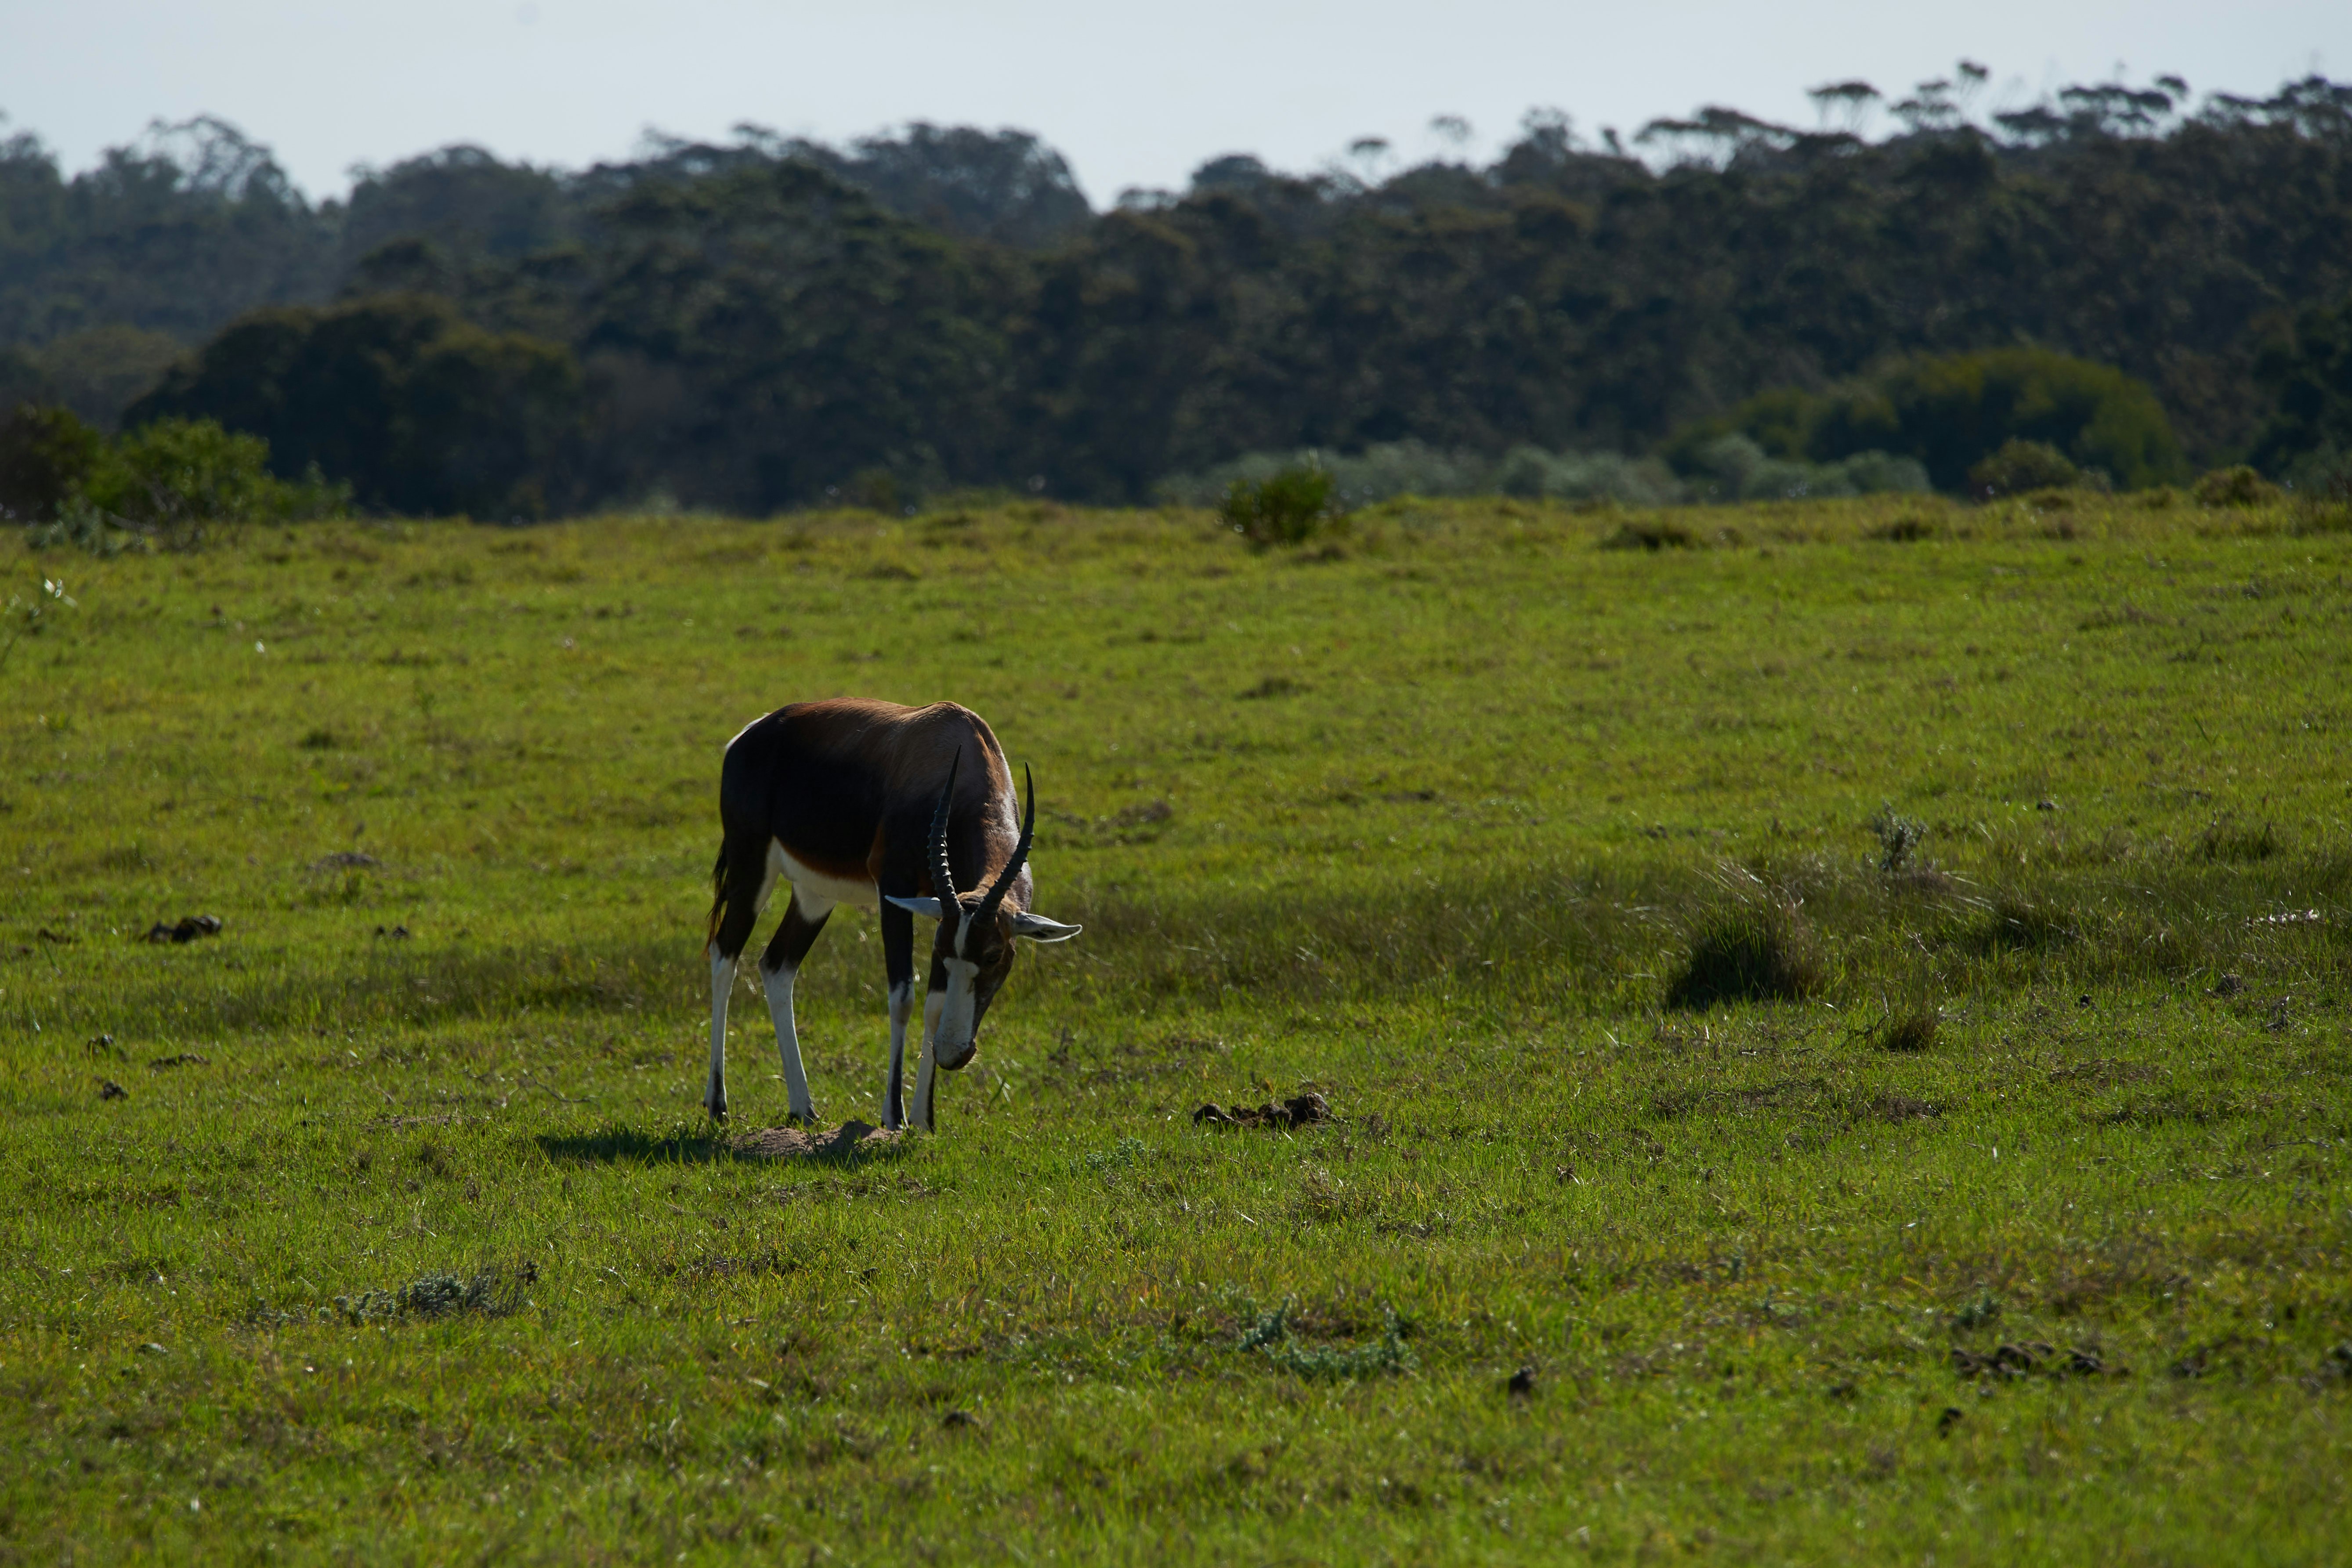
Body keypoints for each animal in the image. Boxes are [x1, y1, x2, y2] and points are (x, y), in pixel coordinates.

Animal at [703, 698, 1081, 1131]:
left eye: (993, 956)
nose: (953, 1054)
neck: (959, 749)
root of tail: (749, 736)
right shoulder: (894, 892)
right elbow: (902, 996)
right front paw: (894, 1116)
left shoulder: (942, 914)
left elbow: (934, 1004)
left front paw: (923, 1120)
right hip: (751, 872)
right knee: (724, 955)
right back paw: (718, 1105)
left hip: (815, 895)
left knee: (776, 965)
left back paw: (804, 1108)